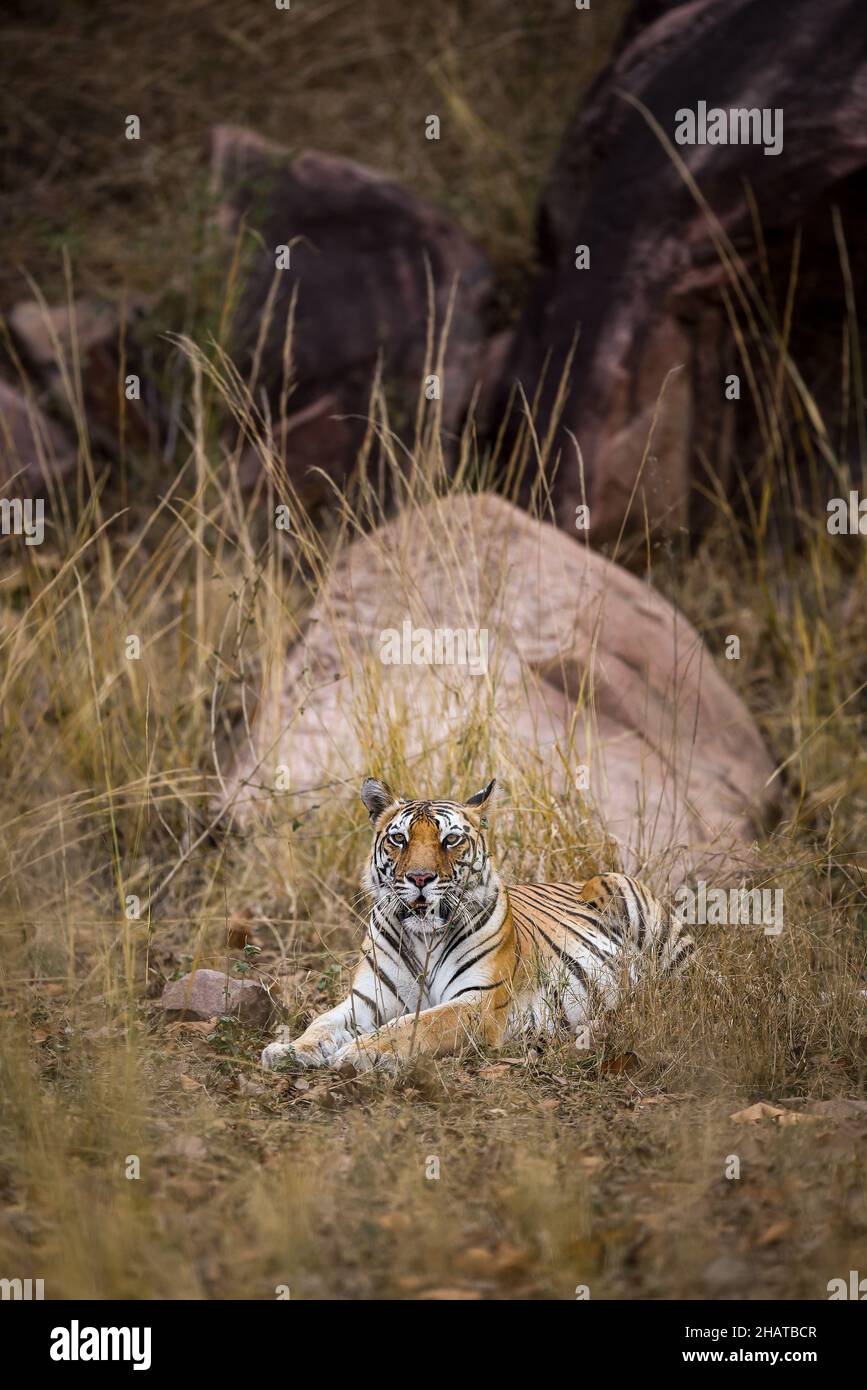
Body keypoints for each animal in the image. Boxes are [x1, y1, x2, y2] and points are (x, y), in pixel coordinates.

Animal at [261, 776, 696, 1073]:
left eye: (451, 840)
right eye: (399, 839)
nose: (420, 878)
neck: (424, 938)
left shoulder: (477, 1002)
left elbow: (413, 1025)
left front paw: (359, 1052)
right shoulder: (368, 999)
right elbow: (322, 1022)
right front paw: (288, 1049)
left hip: (624, 898)